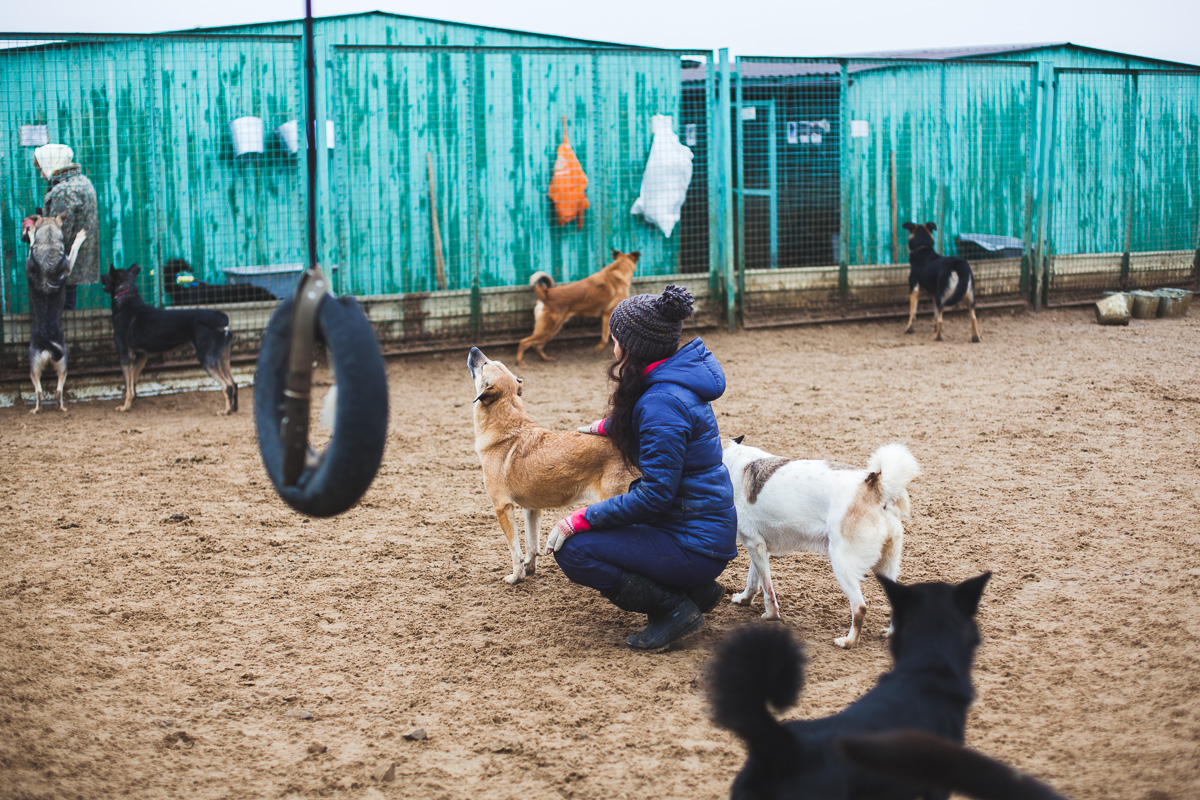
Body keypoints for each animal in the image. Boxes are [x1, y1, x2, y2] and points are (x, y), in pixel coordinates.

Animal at [100, 266, 238, 417]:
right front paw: (132, 399)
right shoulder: (142, 356)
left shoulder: (125, 356)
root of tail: (222, 319)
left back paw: (225, 411)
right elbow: (132, 381)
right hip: (223, 358)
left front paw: (125, 407)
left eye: (108, 276)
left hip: (207, 360)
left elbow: (128, 385)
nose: (100, 276)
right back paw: (233, 408)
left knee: (227, 386)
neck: (126, 300)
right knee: (234, 383)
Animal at [465, 347, 638, 585]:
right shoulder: (531, 508)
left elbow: (515, 550)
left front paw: (515, 577)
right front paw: (529, 569)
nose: (474, 350)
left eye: (484, 365)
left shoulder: (502, 507)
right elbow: (531, 545)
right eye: (490, 361)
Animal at [720, 438, 916, 652]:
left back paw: (848, 642)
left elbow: (767, 590)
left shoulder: (755, 545)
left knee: (859, 607)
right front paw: (744, 600)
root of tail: (876, 485)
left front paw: (771, 616)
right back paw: (890, 633)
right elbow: (753, 581)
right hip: (884, 567)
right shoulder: (758, 547)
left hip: (842, 563)